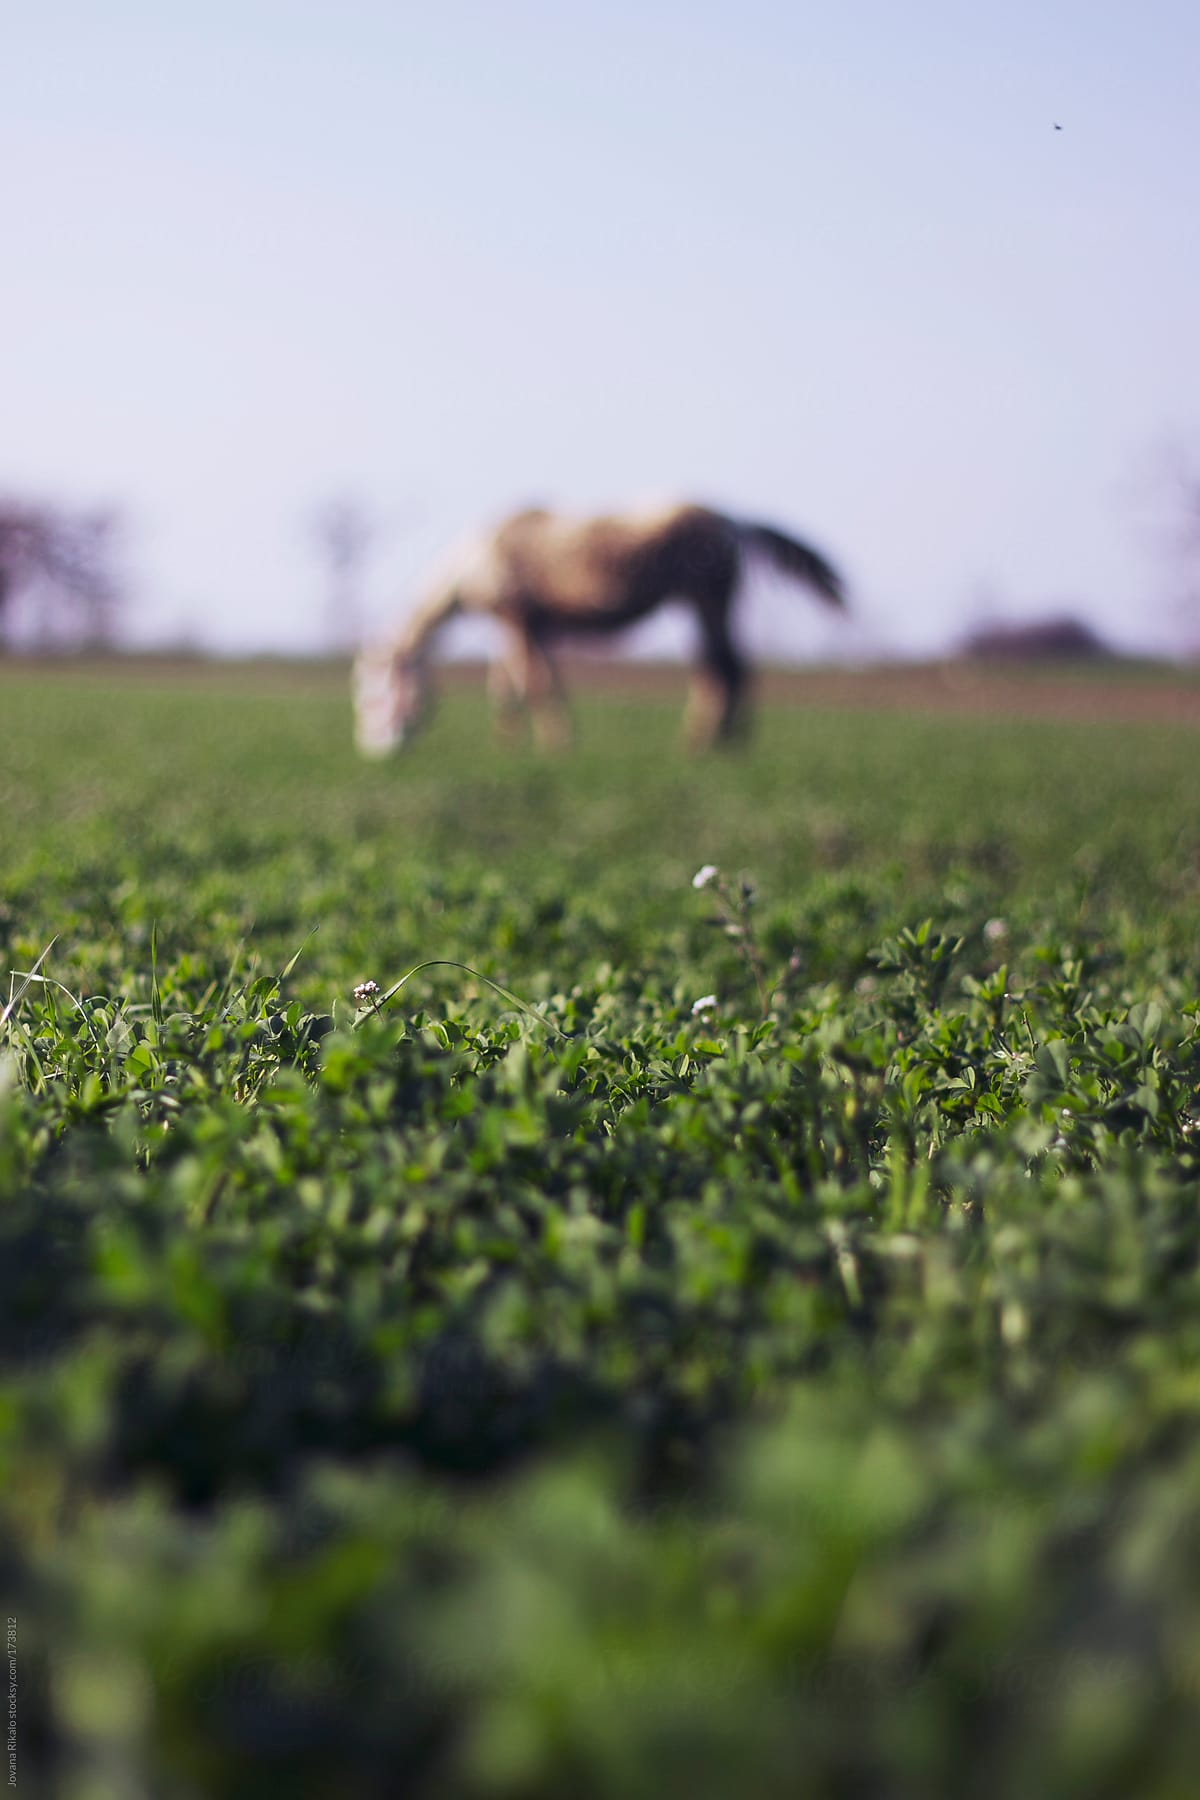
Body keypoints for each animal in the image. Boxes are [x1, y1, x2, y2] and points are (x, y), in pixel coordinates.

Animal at [352, 501, 845, 754]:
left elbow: (534, 683)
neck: (479, 558)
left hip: (706, 599)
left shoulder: (515, 617)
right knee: (729, 666)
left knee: (723, 667)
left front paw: (555, 743)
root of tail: (732, 519)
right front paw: (509, 742)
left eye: (374, 696)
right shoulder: (533, 626)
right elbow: (512, 683)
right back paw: (728, 738)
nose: (378, 749)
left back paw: (706, 741)